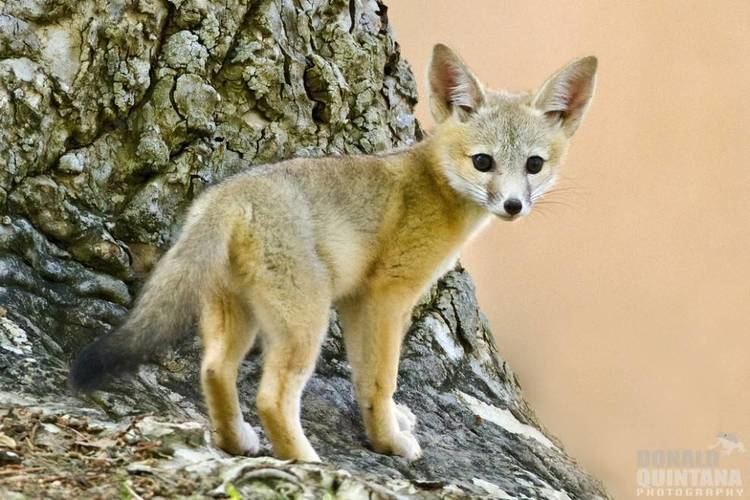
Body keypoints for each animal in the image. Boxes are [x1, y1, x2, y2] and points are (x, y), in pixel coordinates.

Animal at [69, 44, 597, 462]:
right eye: (483, 162)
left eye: (534, 165)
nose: (513, 206)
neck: (432, 187)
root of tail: (231, 197)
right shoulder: (386, 297)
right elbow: (380, 380)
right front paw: (388, 441)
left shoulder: (361, 301)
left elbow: (365, 381)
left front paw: (387, 428)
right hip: (307, 323)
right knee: (271, 397)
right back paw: (306, 461)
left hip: (238, 315)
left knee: (215, 370)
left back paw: (236, 440)